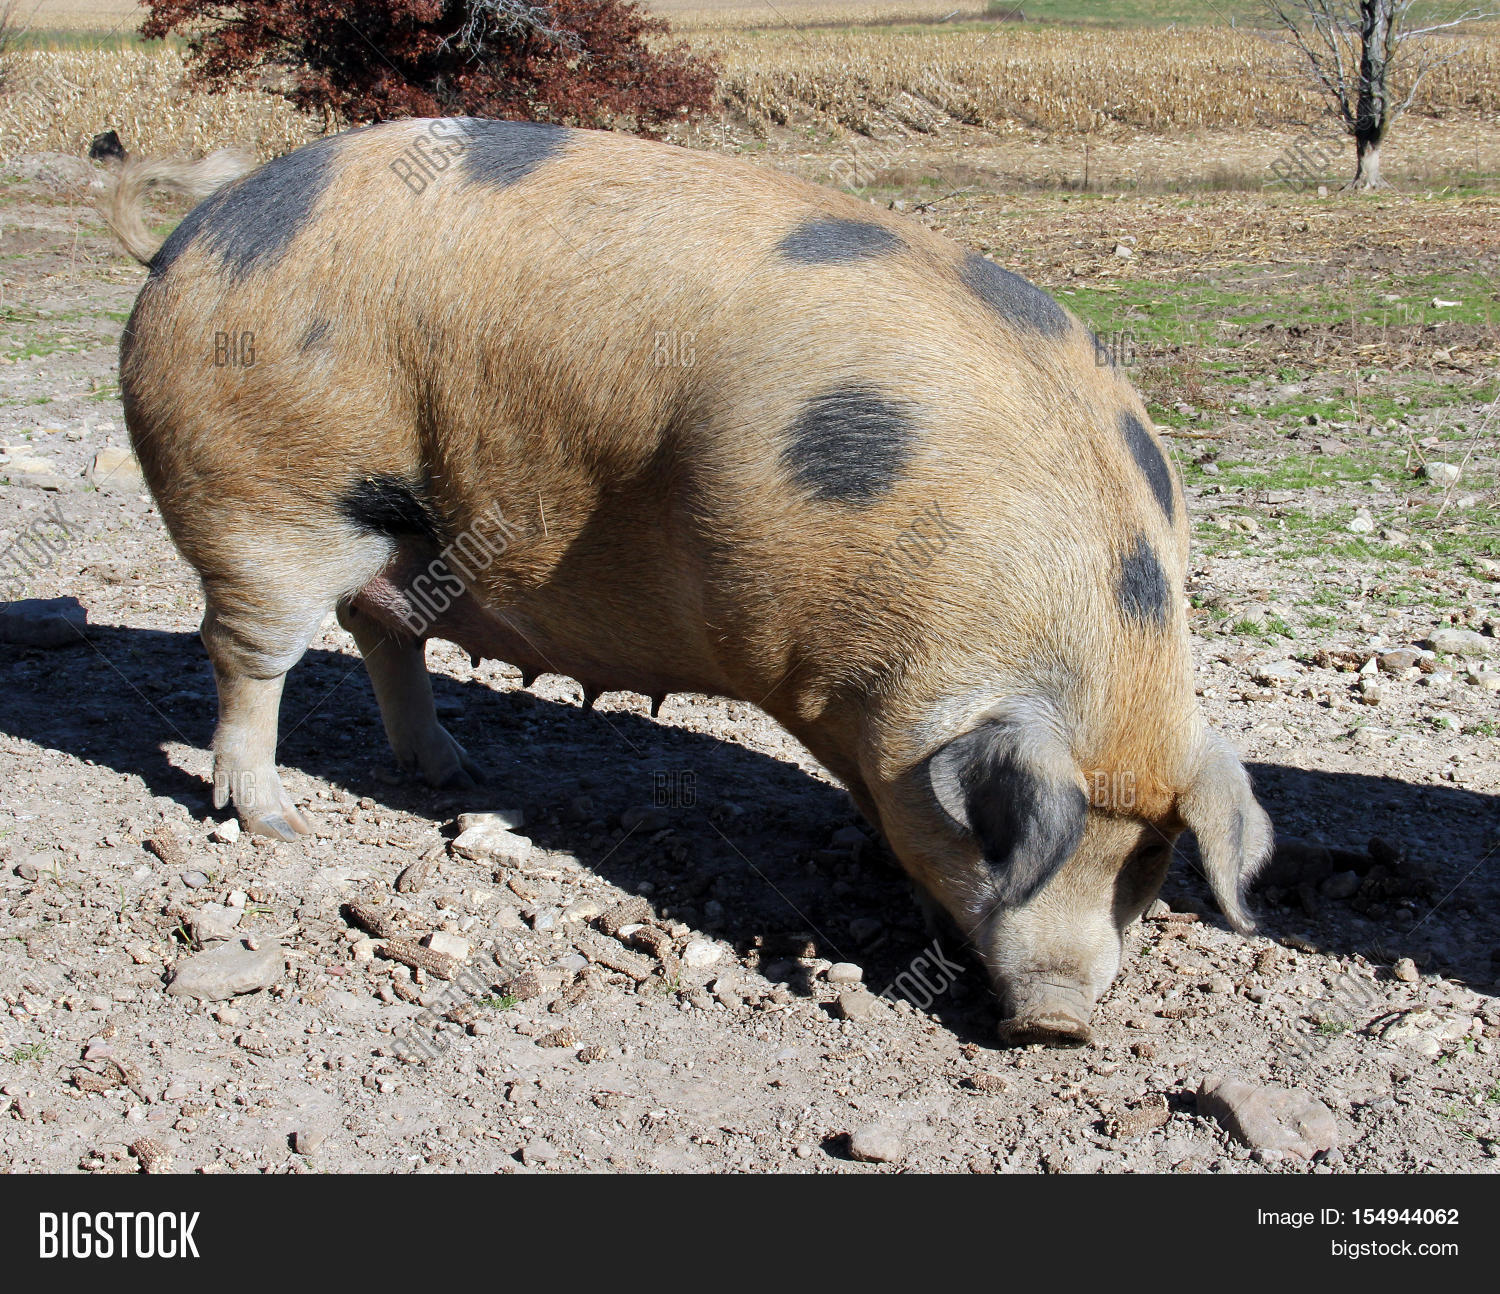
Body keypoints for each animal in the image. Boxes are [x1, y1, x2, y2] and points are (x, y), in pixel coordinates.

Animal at [105, 118, 1271, 1044]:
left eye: (1153, 856)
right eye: (1006, 836)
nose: (1058, 1022)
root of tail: (187, 240)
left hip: (399, 536)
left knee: (383, 631)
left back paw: (452, 772)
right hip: (263, 503)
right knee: (247, 655)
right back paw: (277, 824)